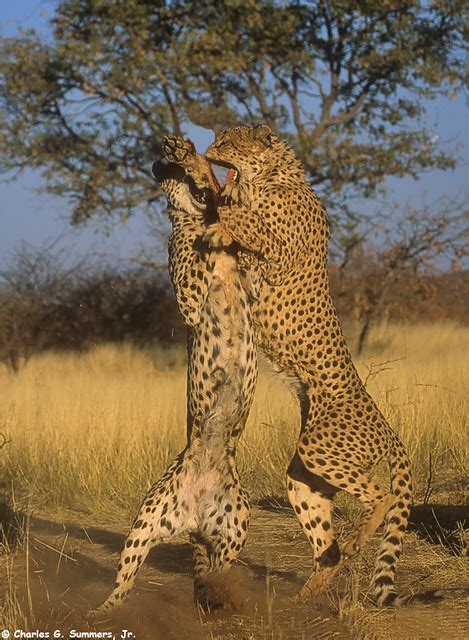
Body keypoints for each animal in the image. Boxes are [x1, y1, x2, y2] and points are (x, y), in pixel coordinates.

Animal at [89, 136, 257, 615]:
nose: (156, 161)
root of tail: (194, 517)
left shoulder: (253, 281)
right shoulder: (189, 301)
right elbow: (199, 260)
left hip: (233, 532)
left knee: (214, 574)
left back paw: (218, 598)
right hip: (144, 525)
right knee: (123, 586)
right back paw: (98, 611)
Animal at [204, 123, 414, 607]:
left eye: (228, 142)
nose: (208, 150)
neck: (271, 177)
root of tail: (388, 429)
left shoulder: (276, 252)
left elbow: (247, 226)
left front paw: (220, 213)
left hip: (321, 448)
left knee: (382, 496)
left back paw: (356, 541)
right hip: (305, 475)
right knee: (327, 547)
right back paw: (305, 597)